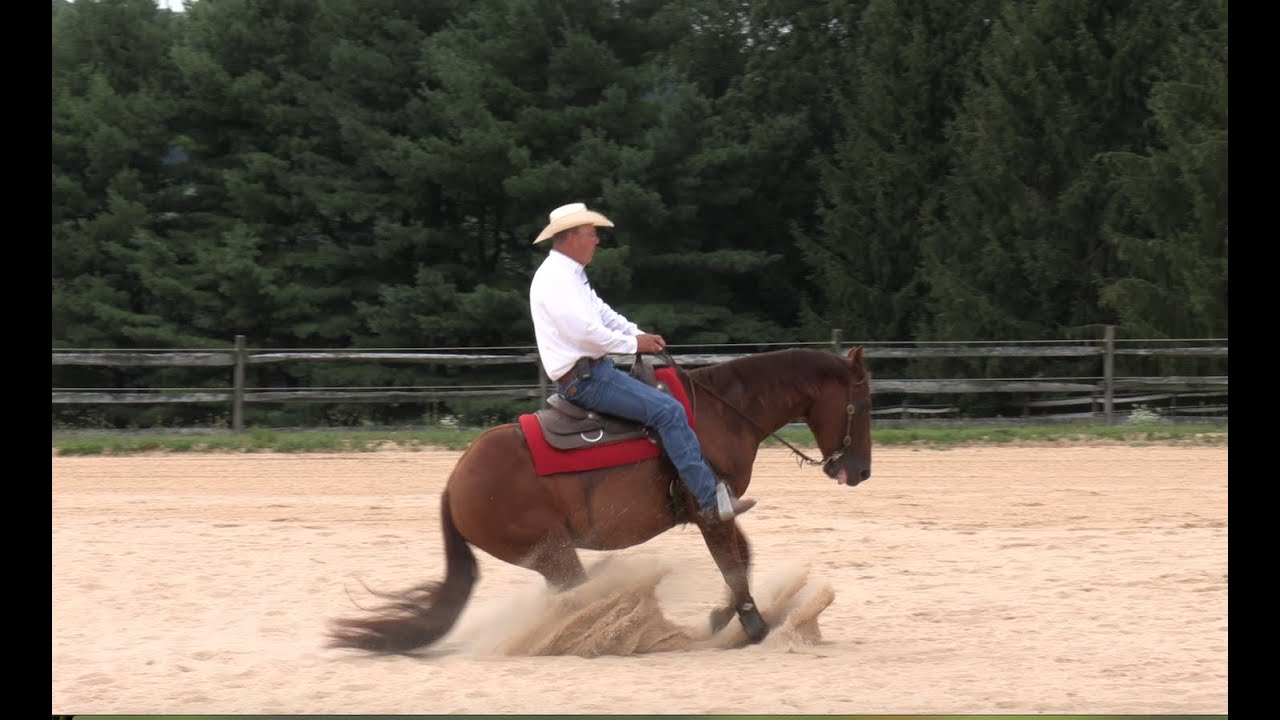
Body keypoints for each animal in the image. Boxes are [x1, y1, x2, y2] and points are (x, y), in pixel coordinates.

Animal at [328, 346, 873, 652]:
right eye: (862, 403)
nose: (861, 471)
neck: (724, 412)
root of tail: (454, 483)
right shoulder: (706, 510)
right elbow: (732, 563)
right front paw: (753, 626)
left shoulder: (716, 508)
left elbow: (743, 555)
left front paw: (725, 618)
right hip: (552, 550)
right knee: (575, 597)